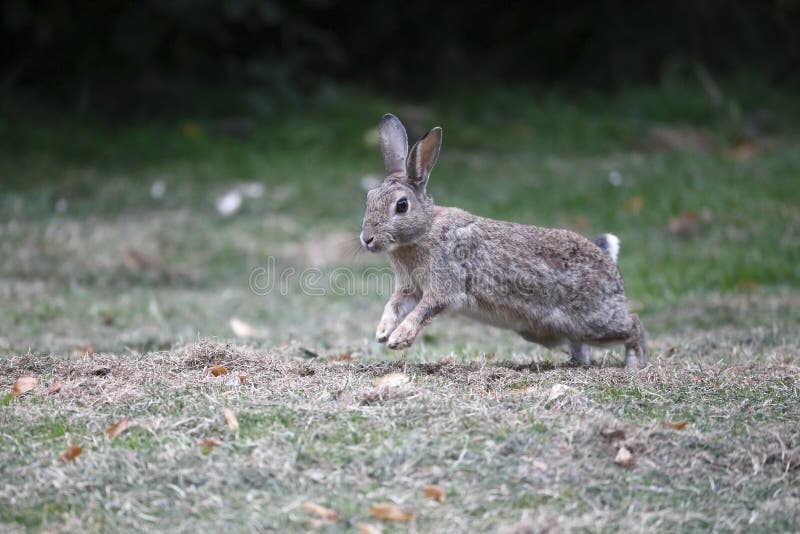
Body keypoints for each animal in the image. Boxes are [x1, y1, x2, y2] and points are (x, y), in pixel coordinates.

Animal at [360, 114, 647, 368]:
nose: (367, 239)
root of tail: (608, 260)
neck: (424, 230)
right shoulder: (410, 288)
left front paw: (398, 339)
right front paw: (382, 332)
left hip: (593, 320)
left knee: (633, 324)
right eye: (369, 197)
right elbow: (394, 305)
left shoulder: (444, 285)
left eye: (402, 205)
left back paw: (634, 364)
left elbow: (422, 311)